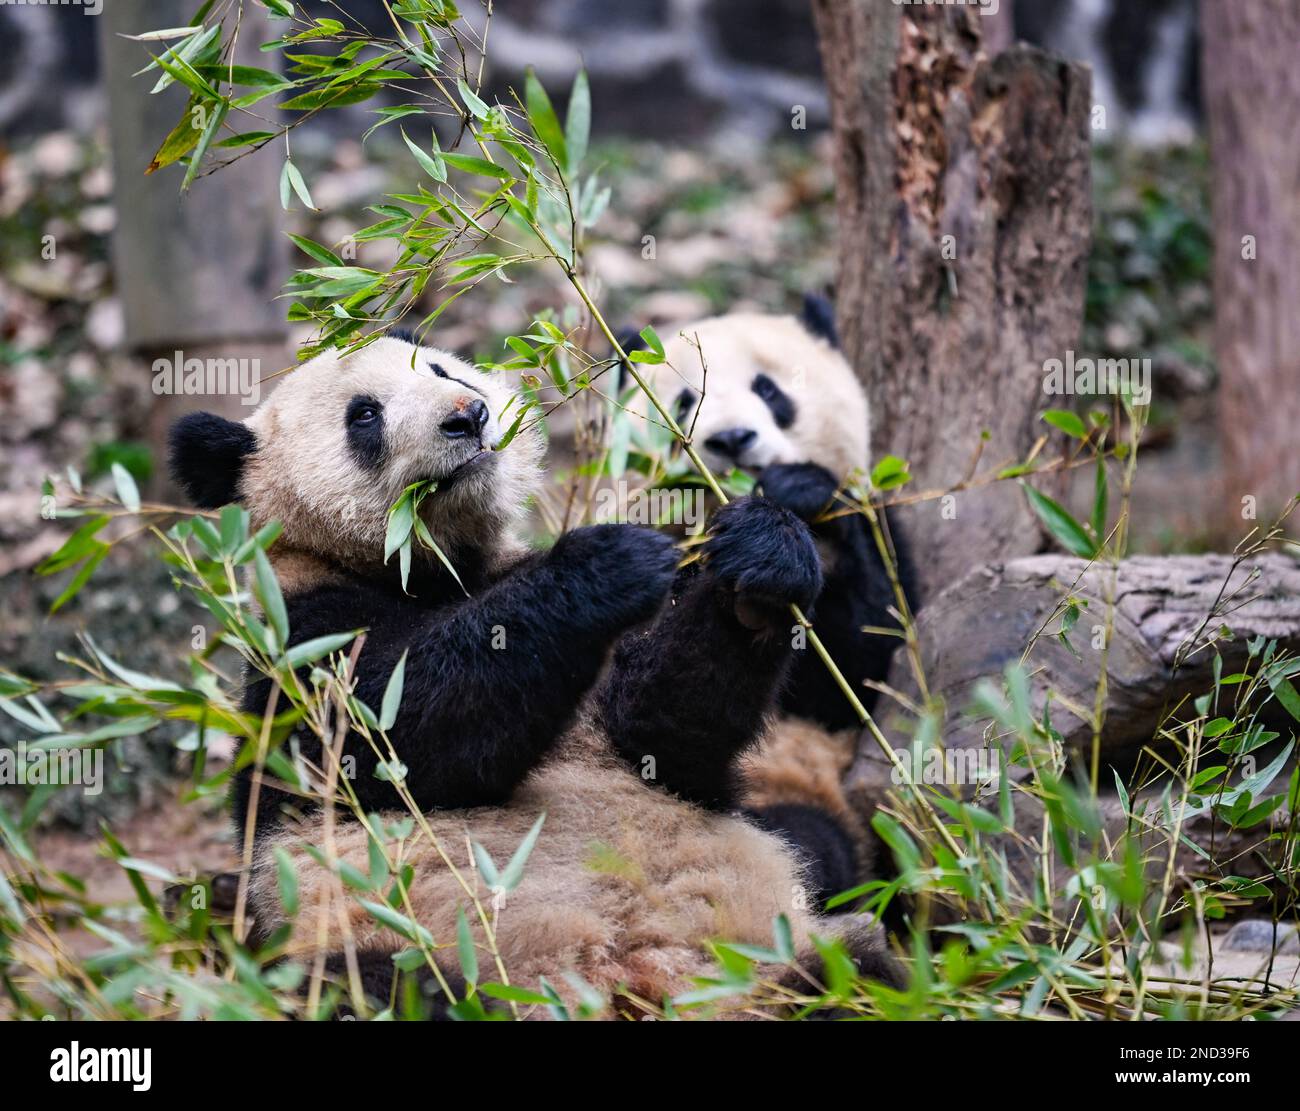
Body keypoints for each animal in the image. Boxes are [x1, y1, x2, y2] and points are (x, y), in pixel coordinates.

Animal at [168, 332, 898, 1017]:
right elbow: (398, 731)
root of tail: (633, 986)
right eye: (364, 415)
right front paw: (605, 563)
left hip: (772, 956)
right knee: (378, 987)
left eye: (443, 371)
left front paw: (761, 558)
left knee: (860, 975)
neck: (430, 566)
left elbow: (662, 732)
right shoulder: (301, 648)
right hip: (399, 945)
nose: (468, 416)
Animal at [625, 298, 914, 877]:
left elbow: (871, 662)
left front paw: (784, 522)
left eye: (769, 390)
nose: (732, 439)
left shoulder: (880, 528)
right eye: (682, 402)